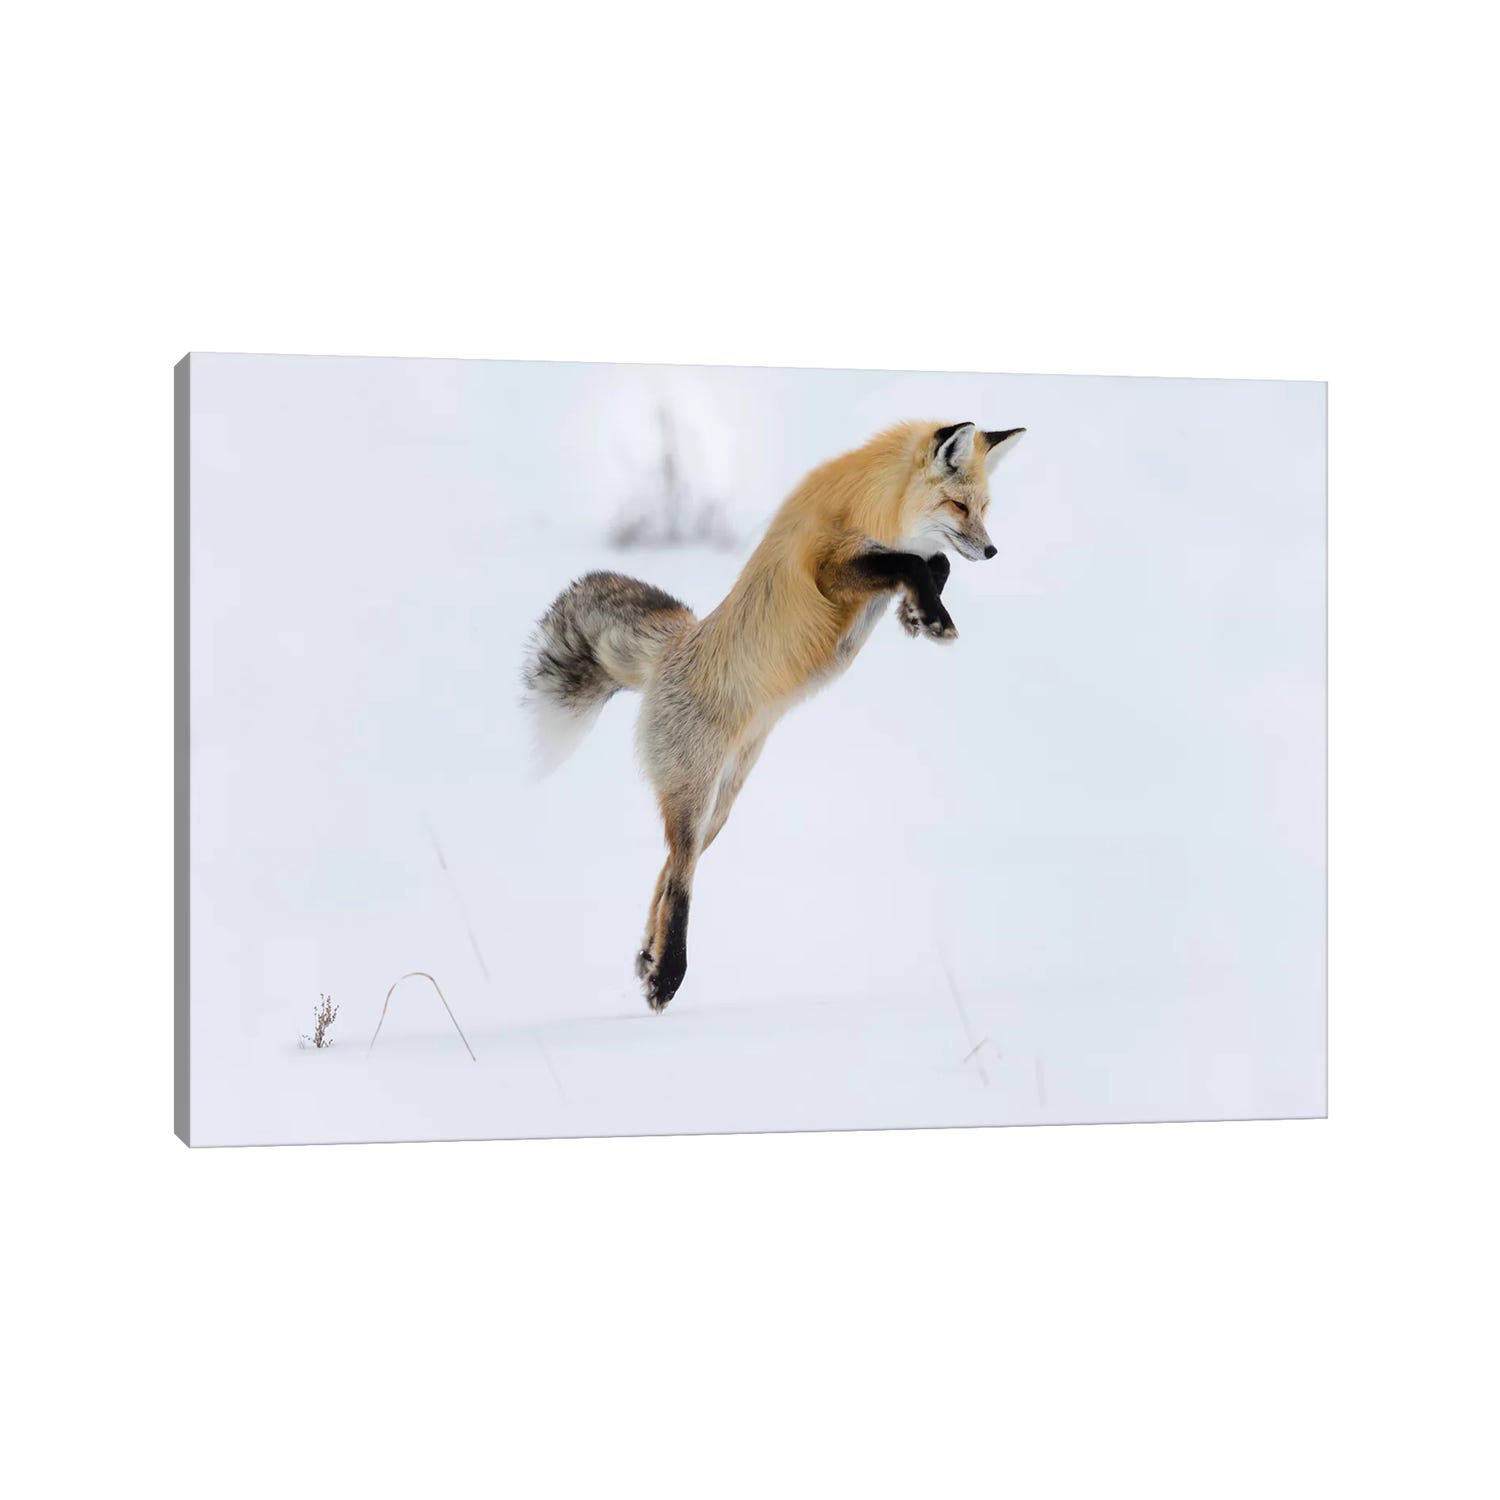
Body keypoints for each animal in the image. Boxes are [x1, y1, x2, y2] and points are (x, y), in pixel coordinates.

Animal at [521, 419, 1026, 1011]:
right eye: (957, 505)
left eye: (984, 507)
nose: (992, 550)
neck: (874, 502)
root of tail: (671, 647)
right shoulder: (828, 571)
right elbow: (912, 561)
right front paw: (929, 614)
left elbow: (932, 562)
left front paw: (918, 614)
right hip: (696, 797)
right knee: (682, 878)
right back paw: (668, 975)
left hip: (721, 803)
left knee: (669, 872)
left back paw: (648, 961)